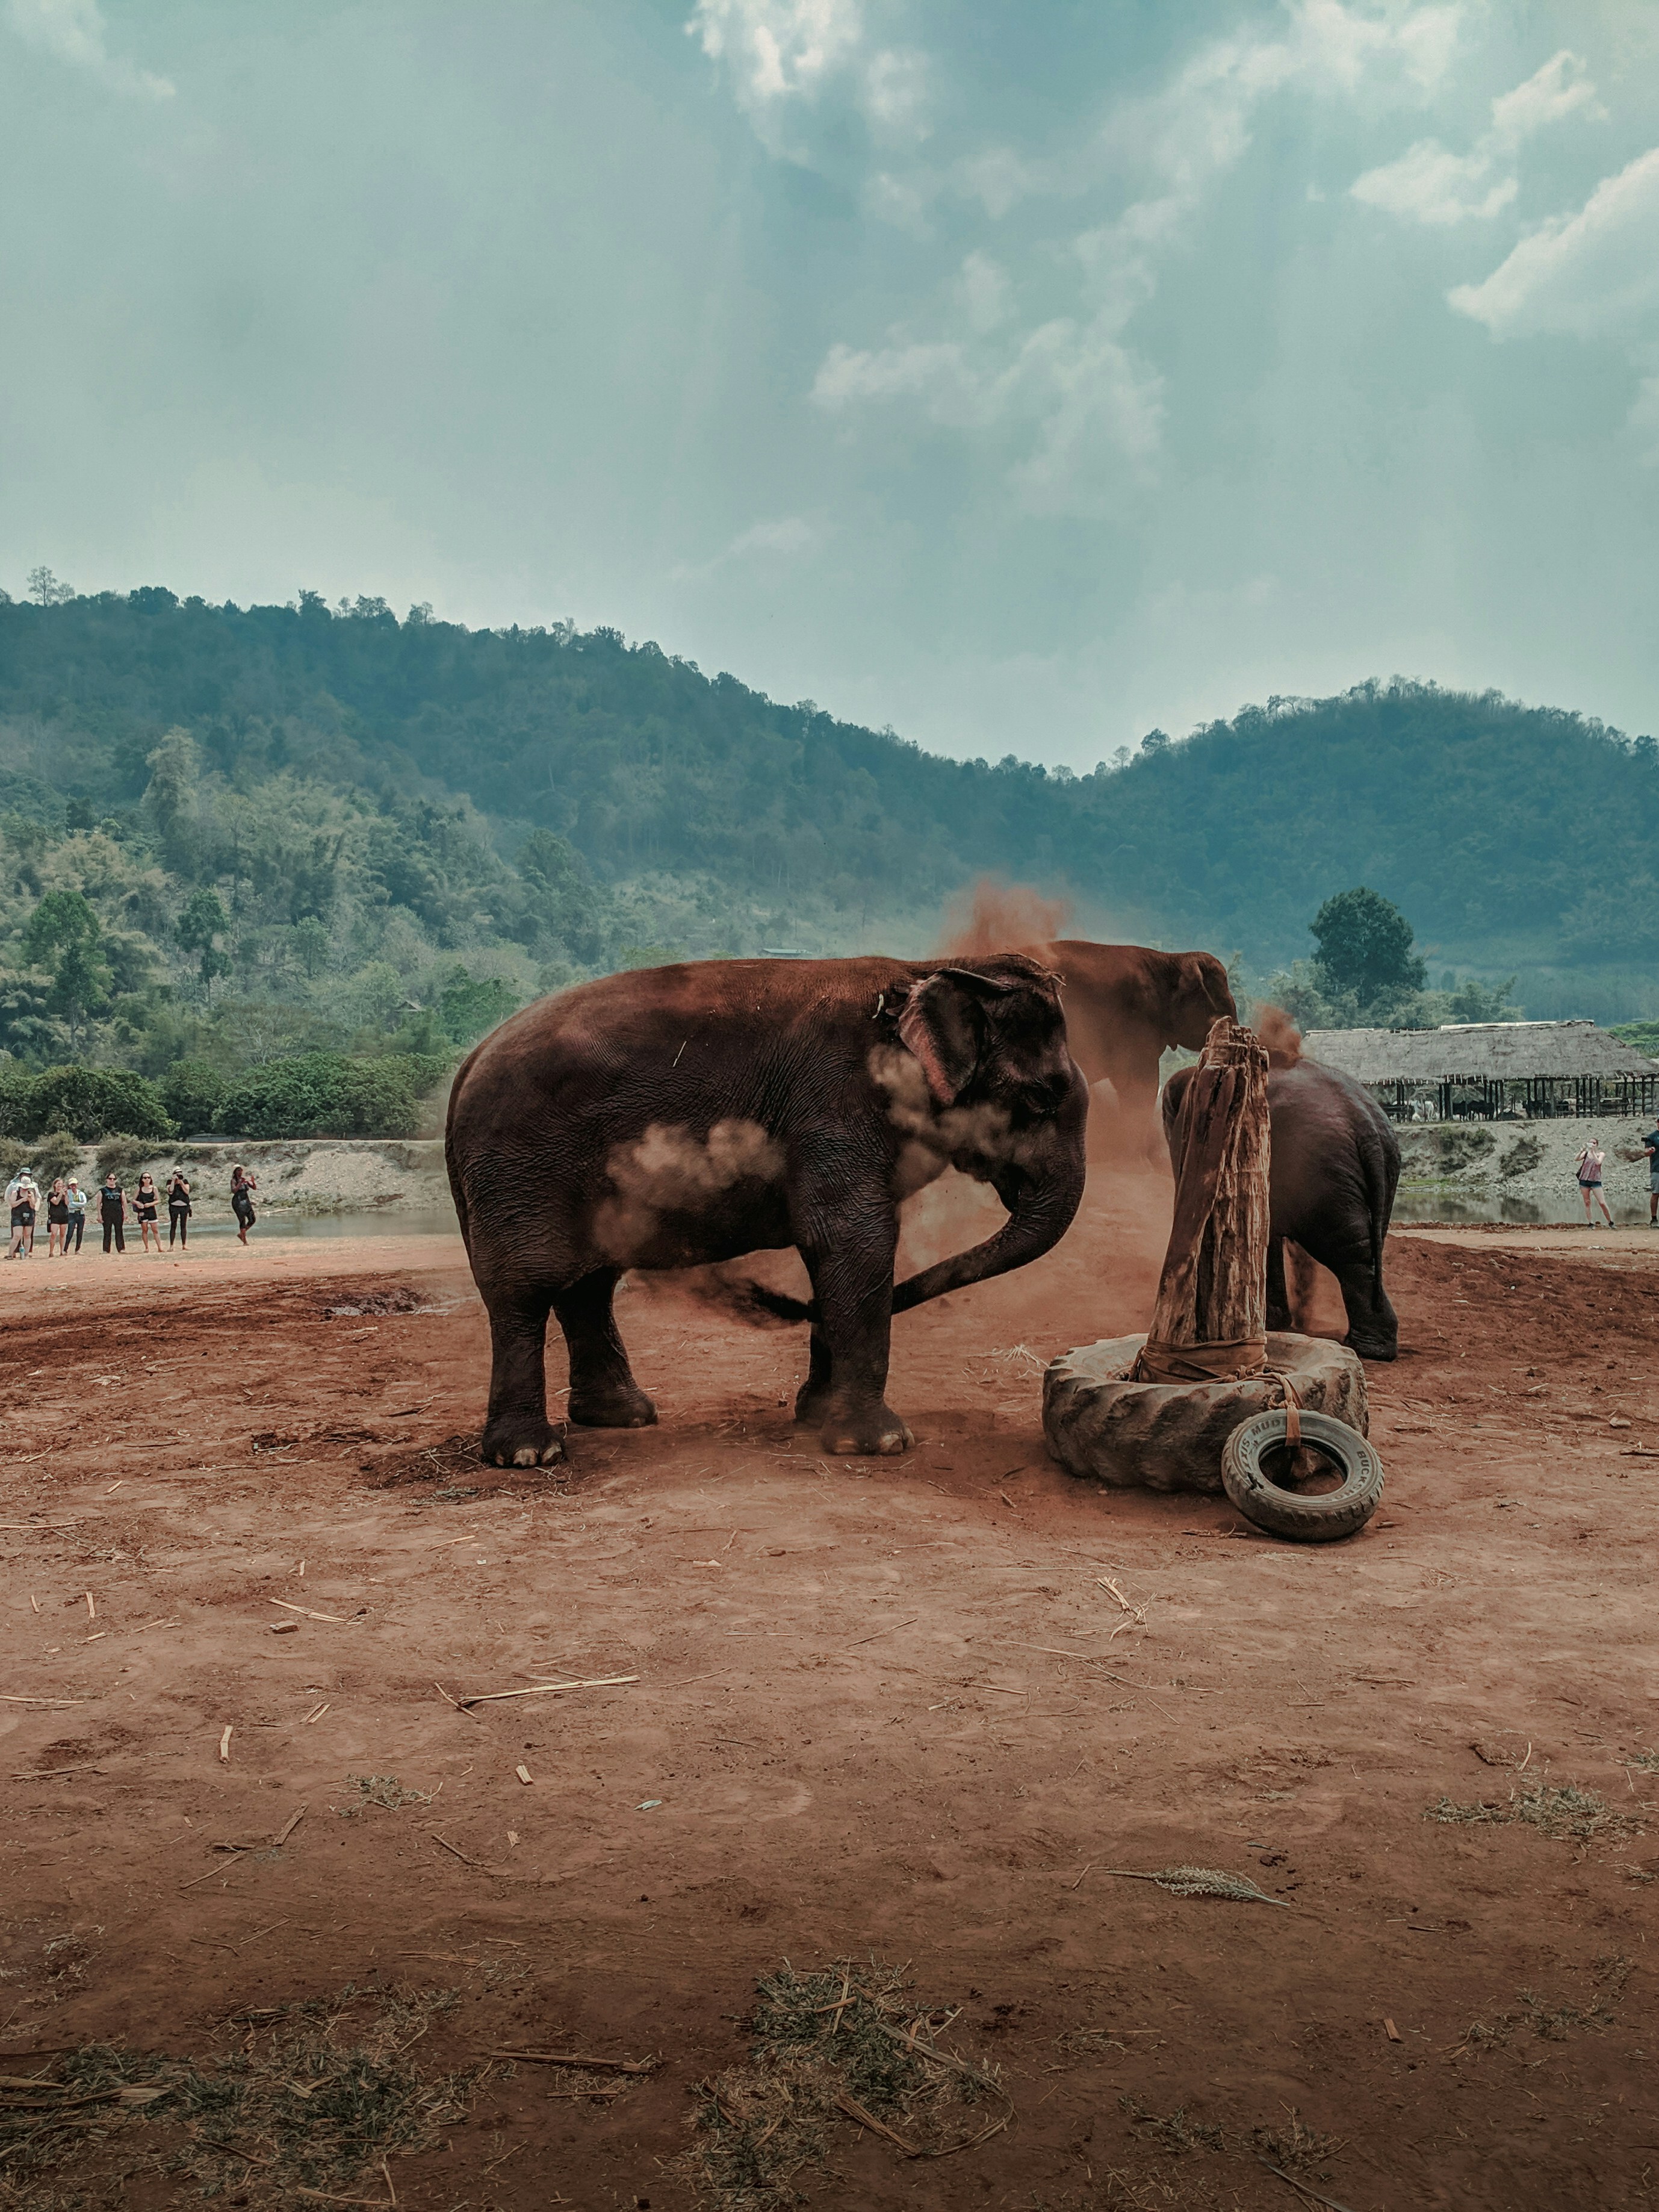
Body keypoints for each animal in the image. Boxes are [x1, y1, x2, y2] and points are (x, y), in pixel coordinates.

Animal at [445, 952, 1090, 1466]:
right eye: (1042, 1095)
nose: (781, 1305)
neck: (929, 967)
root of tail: (467, 1065)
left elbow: (837, 1249)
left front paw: (816, 1415)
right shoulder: (837, 1104)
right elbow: (854, 1239)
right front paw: (878, 1445)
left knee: (590, 1284)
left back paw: (623, 1418)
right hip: (520, 1170)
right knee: (525, 1289)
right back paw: (530, 1454)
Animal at [1161, 1057, 1401, 1361]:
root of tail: (1365, 1121)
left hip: (1320, 1175)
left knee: (1347, 1251)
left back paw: (1368, 1348)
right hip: (1380, 1171)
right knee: (1368, 1247)